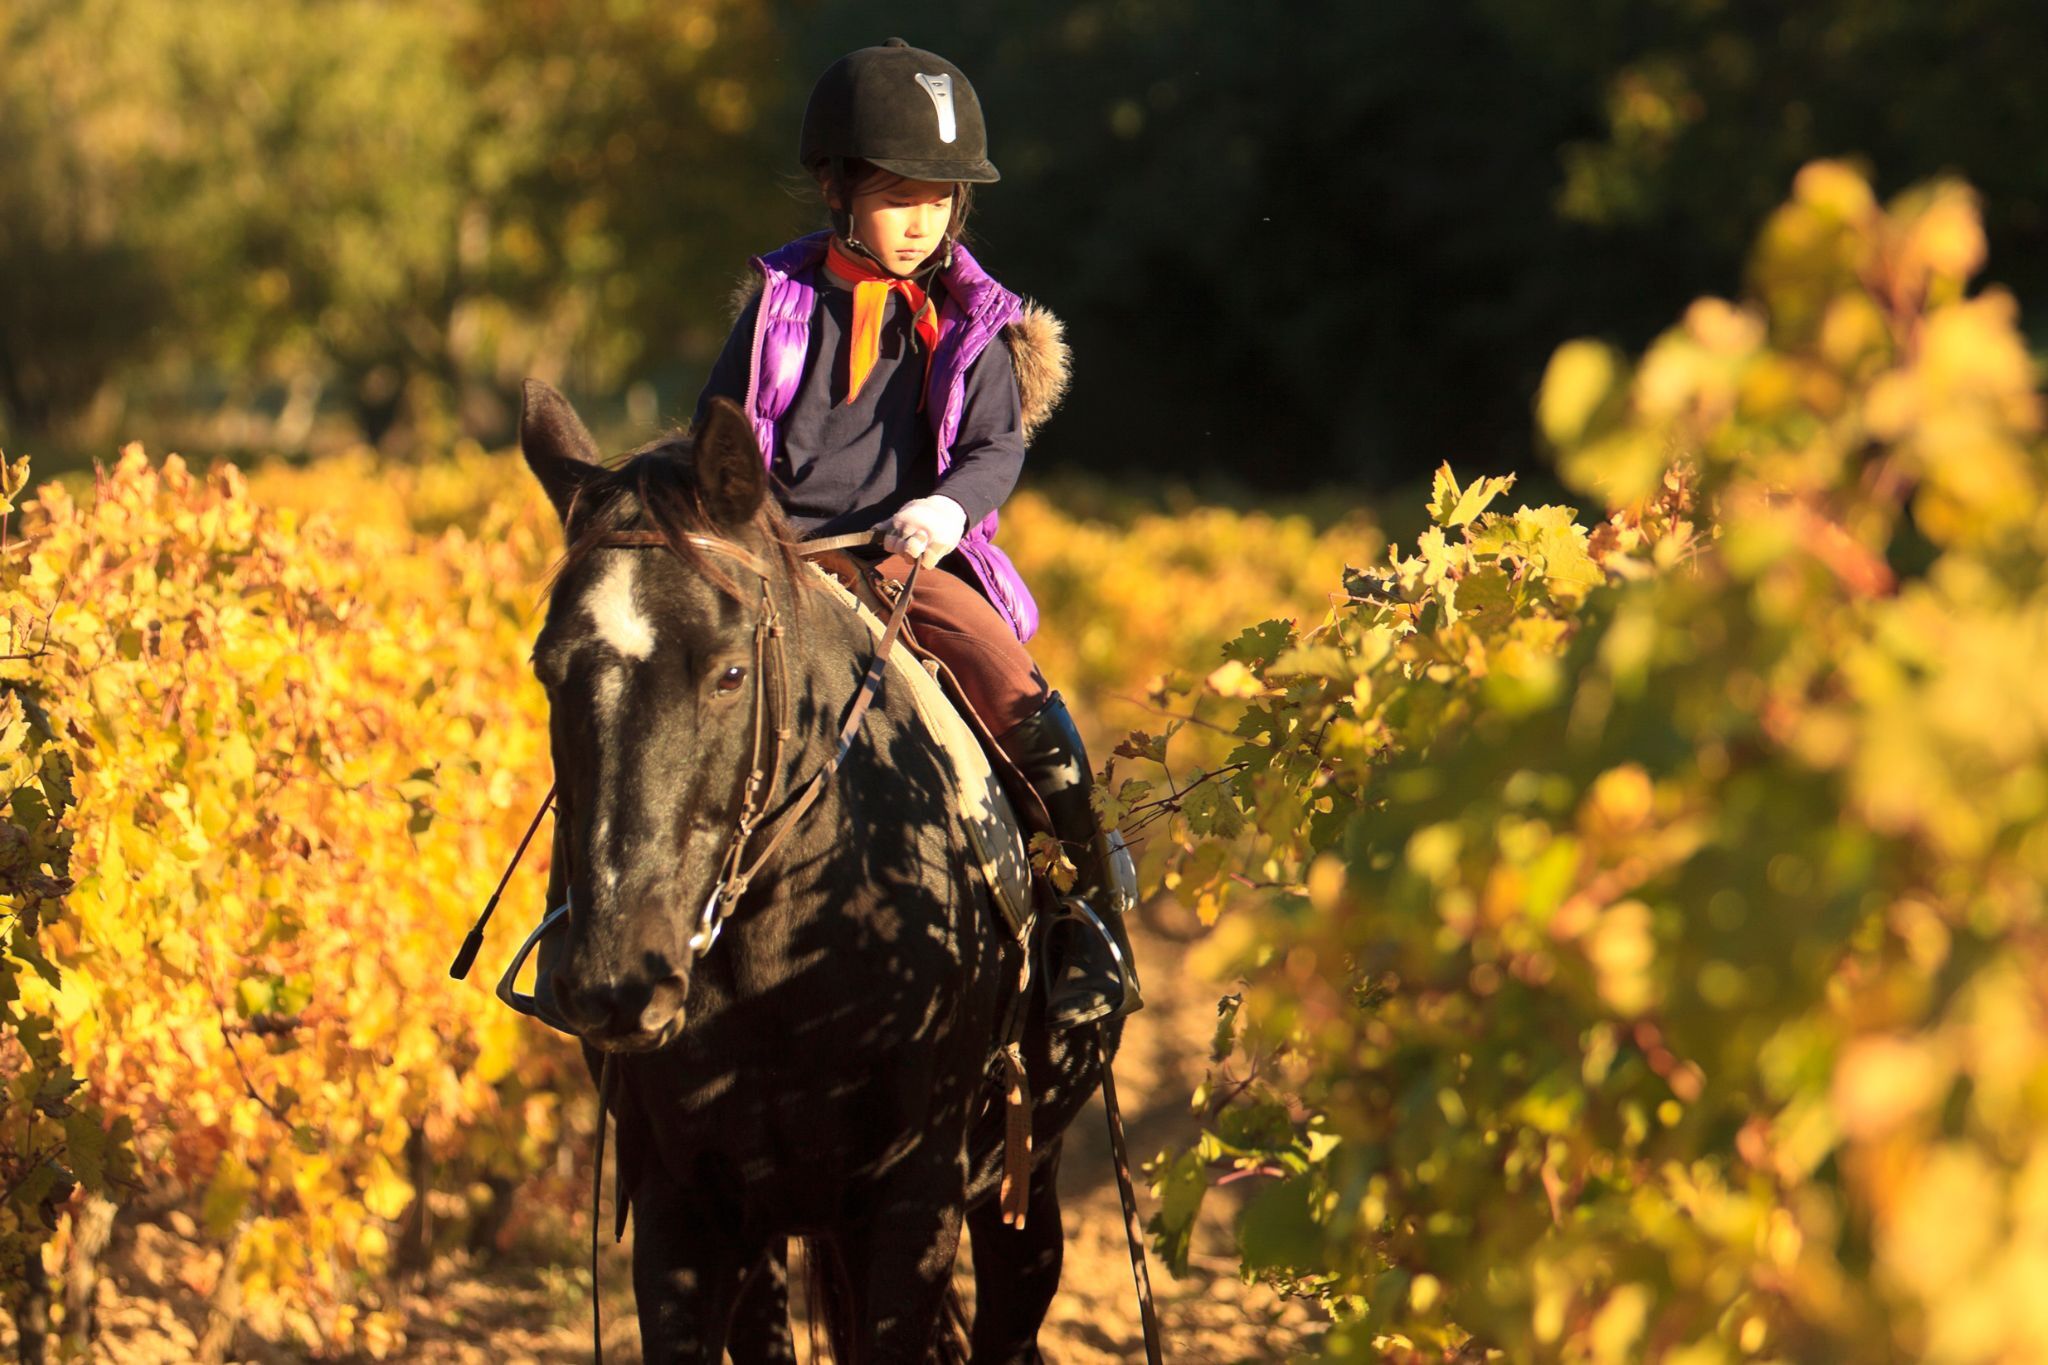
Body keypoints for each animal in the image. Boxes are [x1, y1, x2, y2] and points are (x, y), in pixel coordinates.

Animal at [516, 379, 1118, 1362]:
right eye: (548, 670)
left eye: (729, 672)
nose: (618, 979)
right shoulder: (683, 1205)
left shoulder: (914, 1201)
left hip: (1025, 1176)